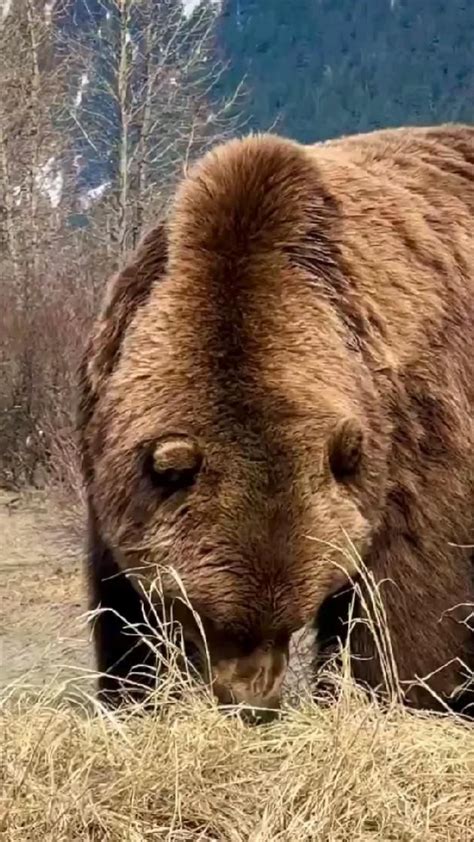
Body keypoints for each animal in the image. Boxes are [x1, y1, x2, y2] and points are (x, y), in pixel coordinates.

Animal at [78, 123, 474, 716]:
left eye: (294, 612)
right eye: (208, 612)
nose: (252, 705)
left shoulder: (420, 431)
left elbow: (407, 596)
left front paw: (393, 694)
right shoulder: (108, 427)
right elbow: (124, 608)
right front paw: (139, 693)